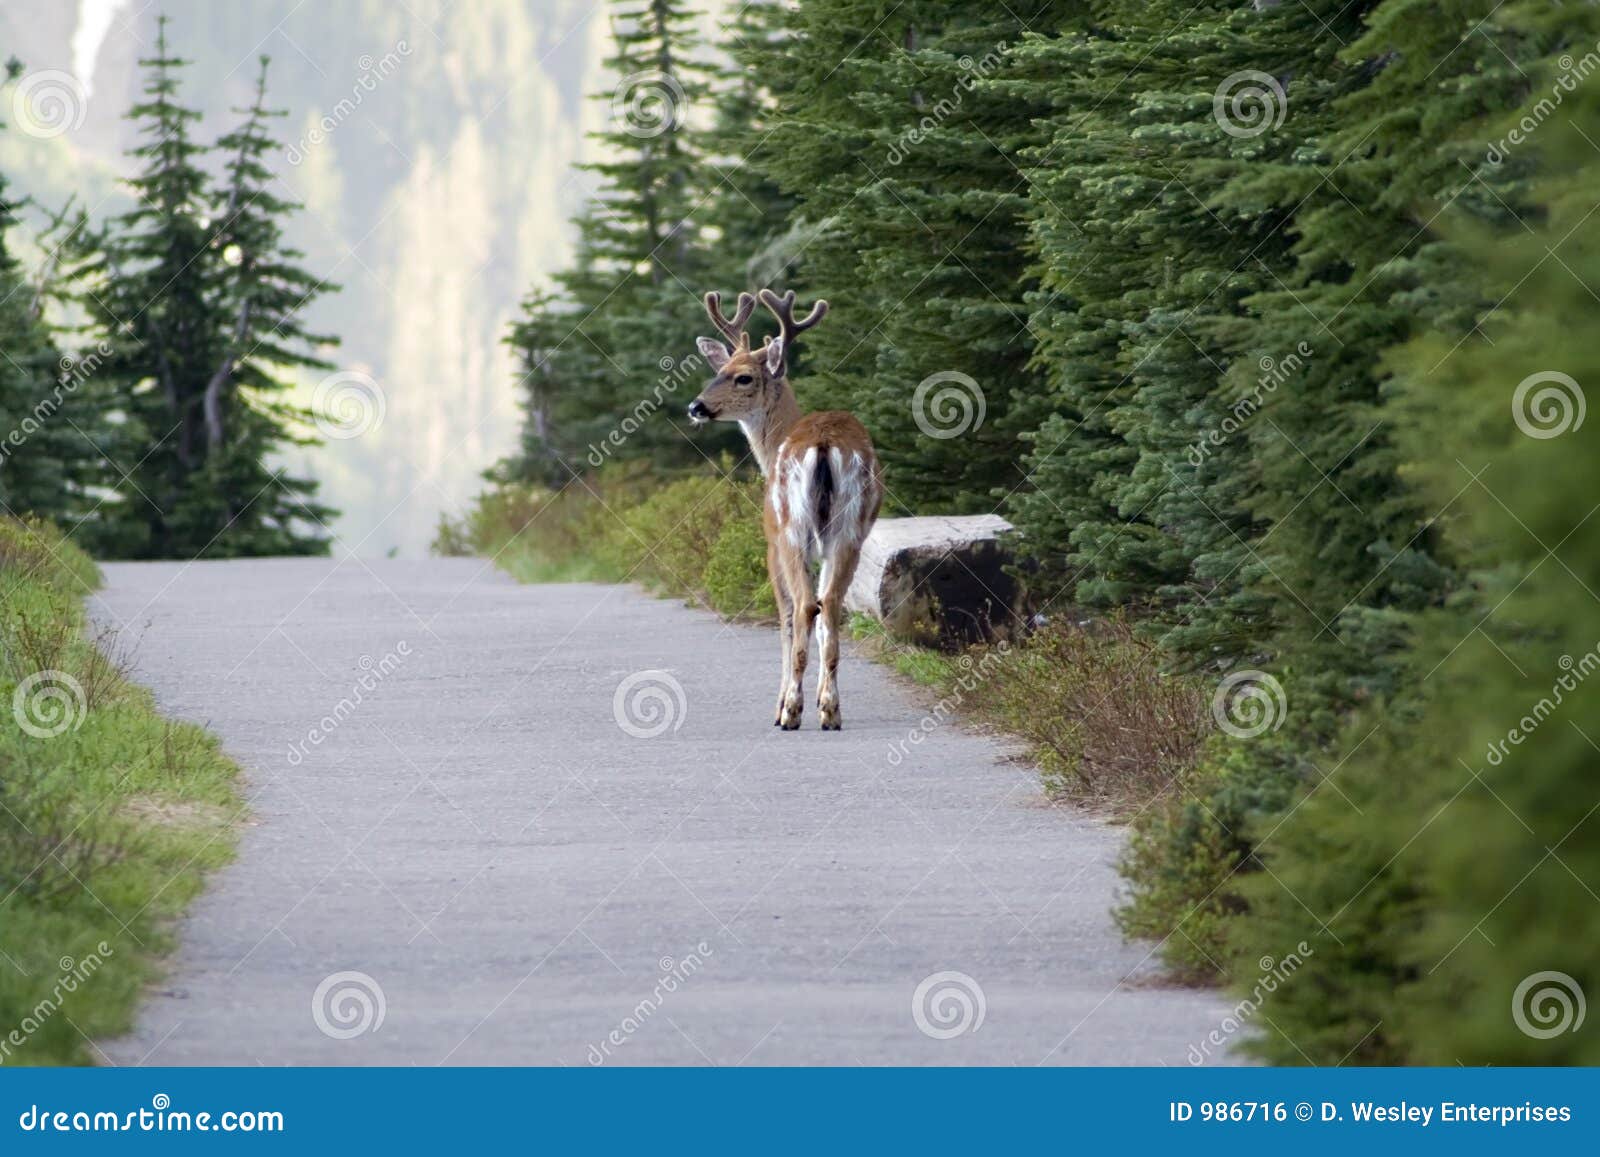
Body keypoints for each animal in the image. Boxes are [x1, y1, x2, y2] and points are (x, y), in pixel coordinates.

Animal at [688, 288, 883, 730]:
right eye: (720, 367)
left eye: (743, 376)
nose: (696, 406)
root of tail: (824, 444)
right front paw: (824, 703)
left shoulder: (772, 541)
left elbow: (787, 619)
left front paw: (781, 706)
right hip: (848, 531)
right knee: (830, 605)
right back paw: (831, 711)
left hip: (792, 527)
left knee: (805, 606)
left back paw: (791, 712)